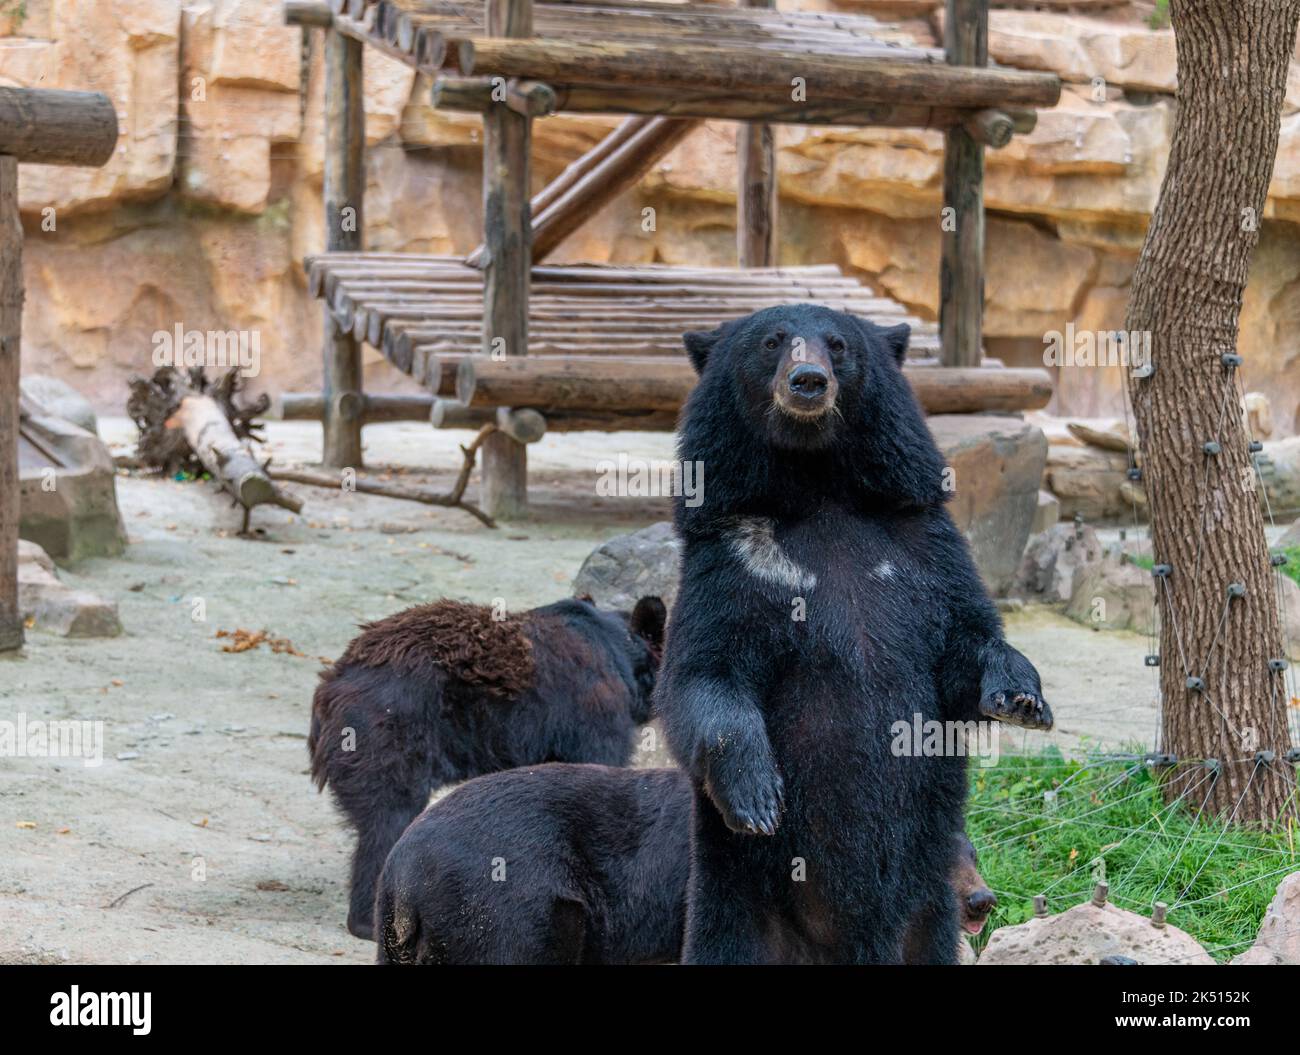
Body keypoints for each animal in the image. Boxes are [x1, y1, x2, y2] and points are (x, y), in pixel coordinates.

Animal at [309, 594, 666, 940]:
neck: (621, 659)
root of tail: (330, 687)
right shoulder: (591, 716)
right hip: (390, 735)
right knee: (387, 822)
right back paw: (372, 920)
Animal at [653, 304, 1050, 964]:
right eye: (772, 342)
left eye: (838, 345)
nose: (808, 381)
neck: (819, 488)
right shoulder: (733, 559)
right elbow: (703, 674)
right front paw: (758, 796)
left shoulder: (922, 545)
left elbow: (963, 639)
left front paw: (1020, 696)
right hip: (740, 896)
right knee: (725, 940)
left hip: (927, 902)